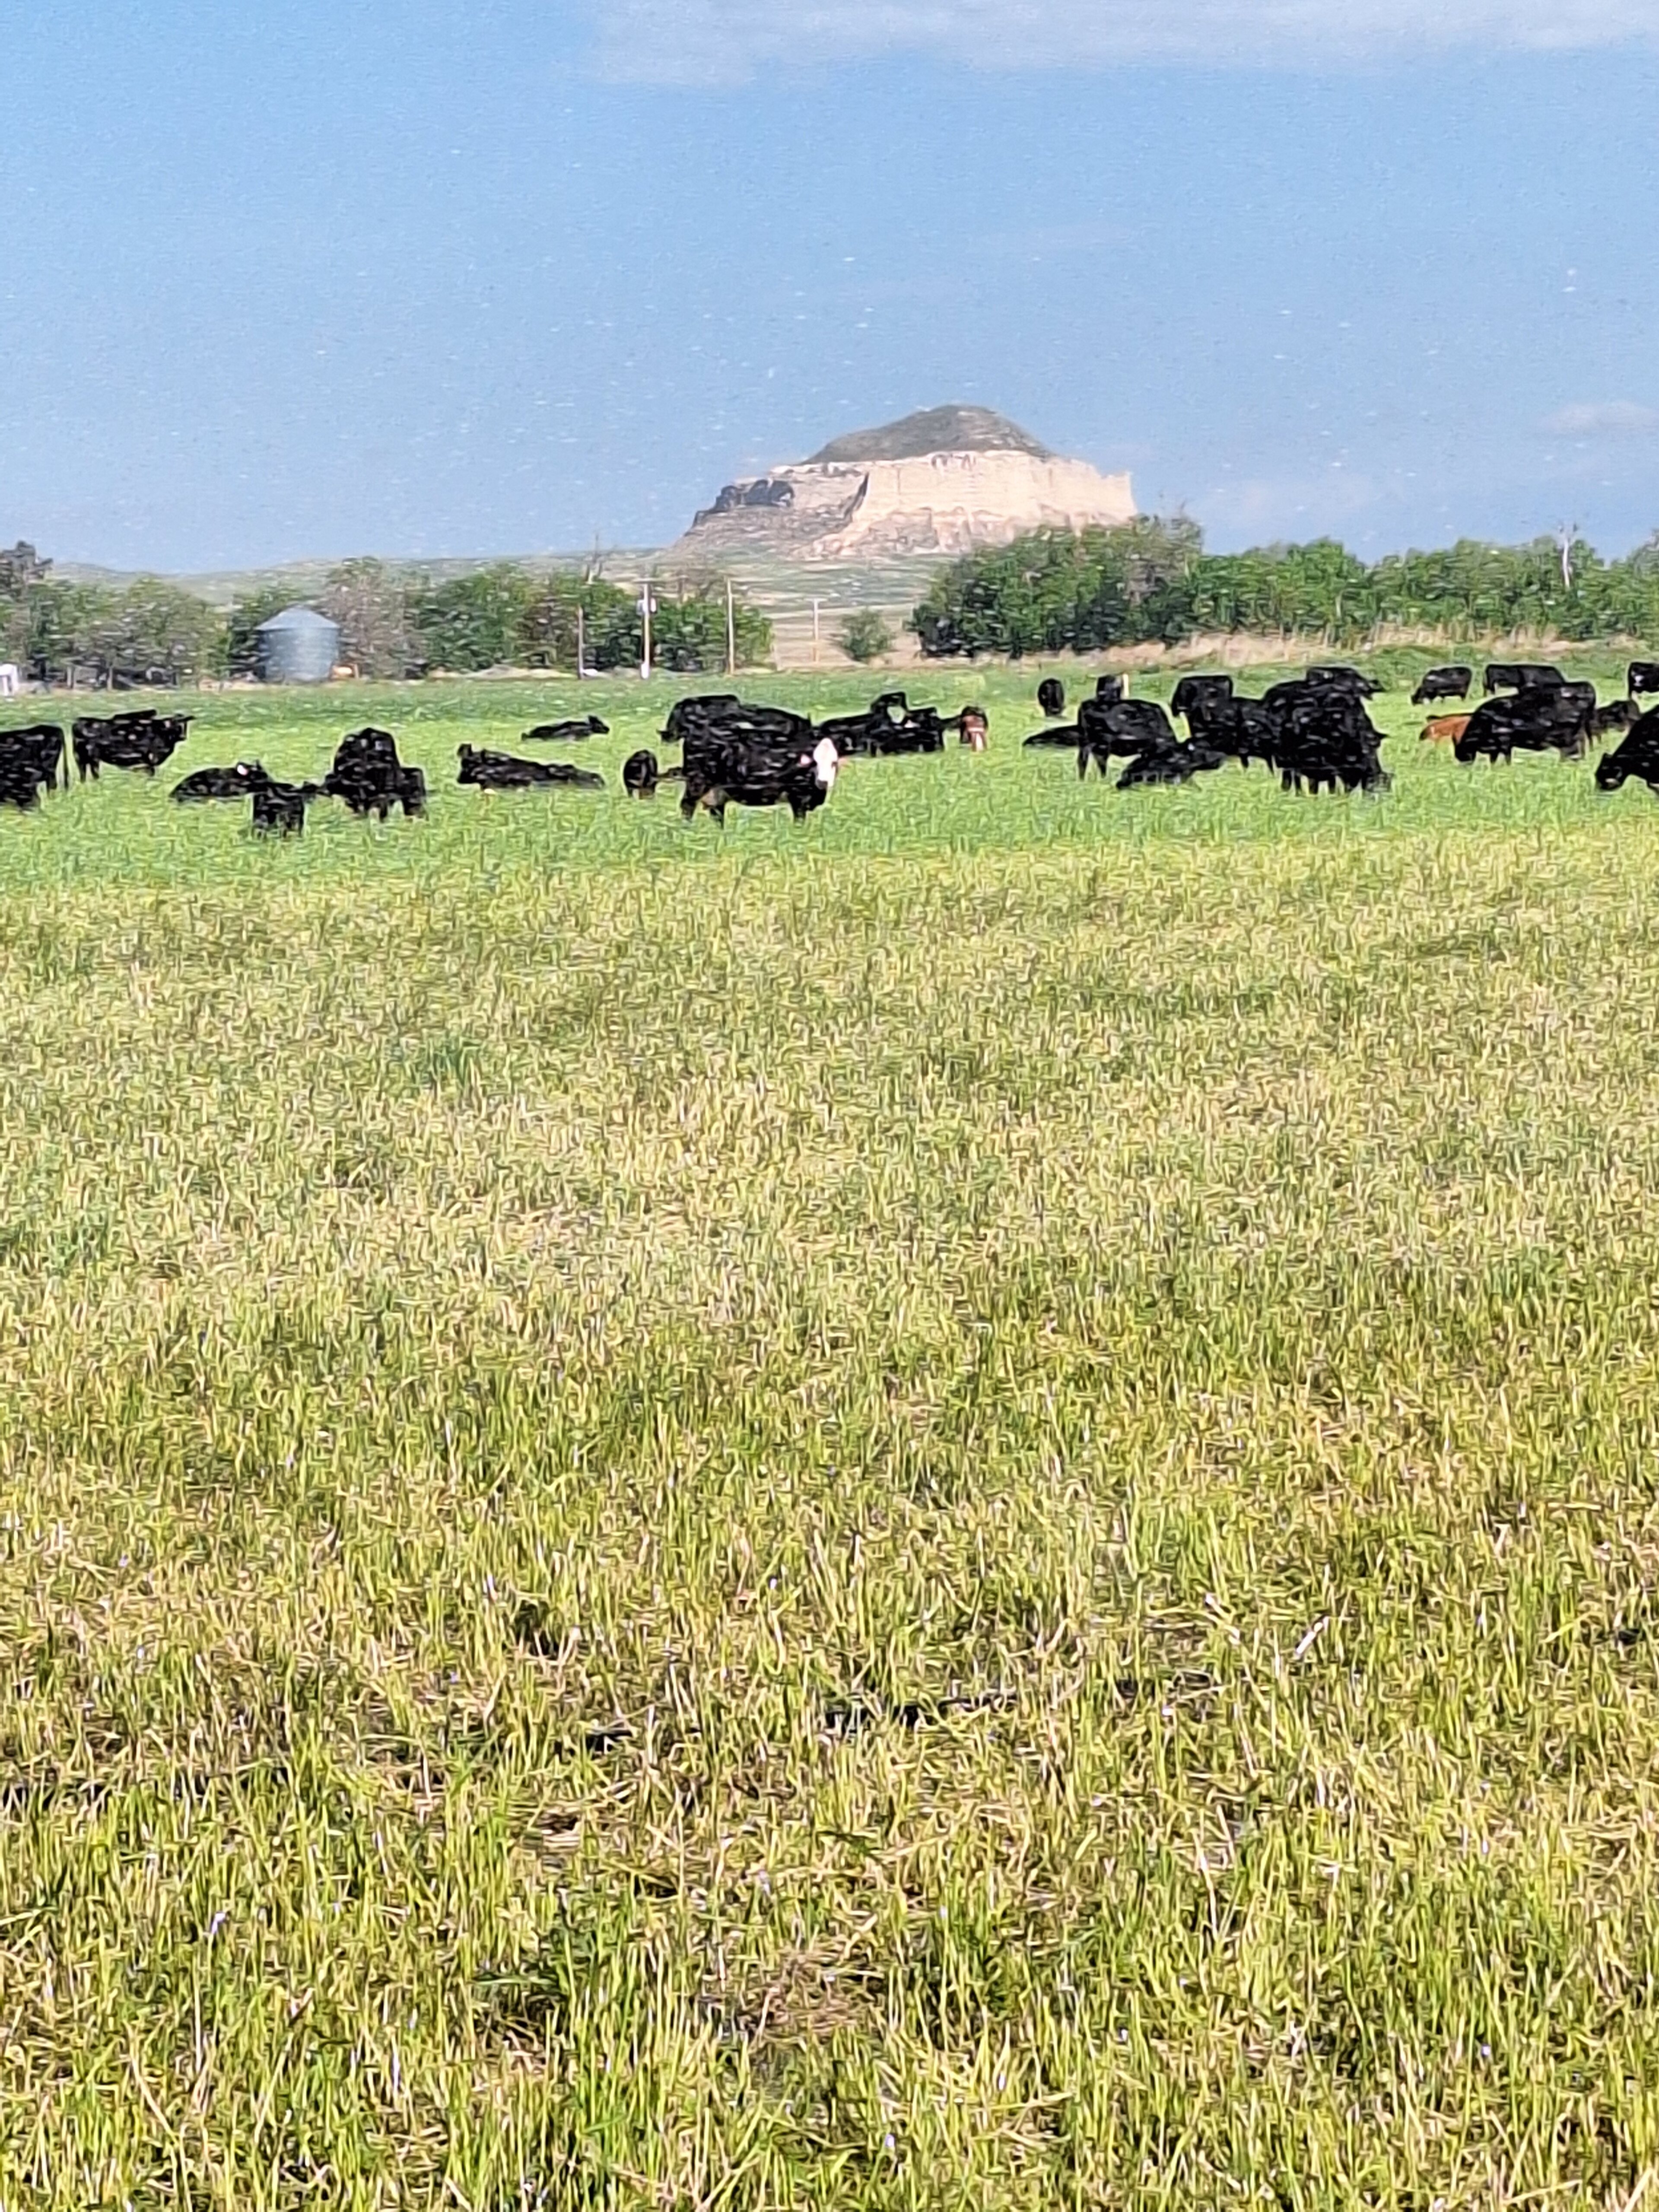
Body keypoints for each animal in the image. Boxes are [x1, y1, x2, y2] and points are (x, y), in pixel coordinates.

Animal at [1412, 666, 1473, 705]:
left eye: (1416, 697)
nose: (1413, 705)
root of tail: (1469, 670)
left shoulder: (1438, 692)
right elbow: (1442, 698)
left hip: (1464, 690)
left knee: (1464, 697)